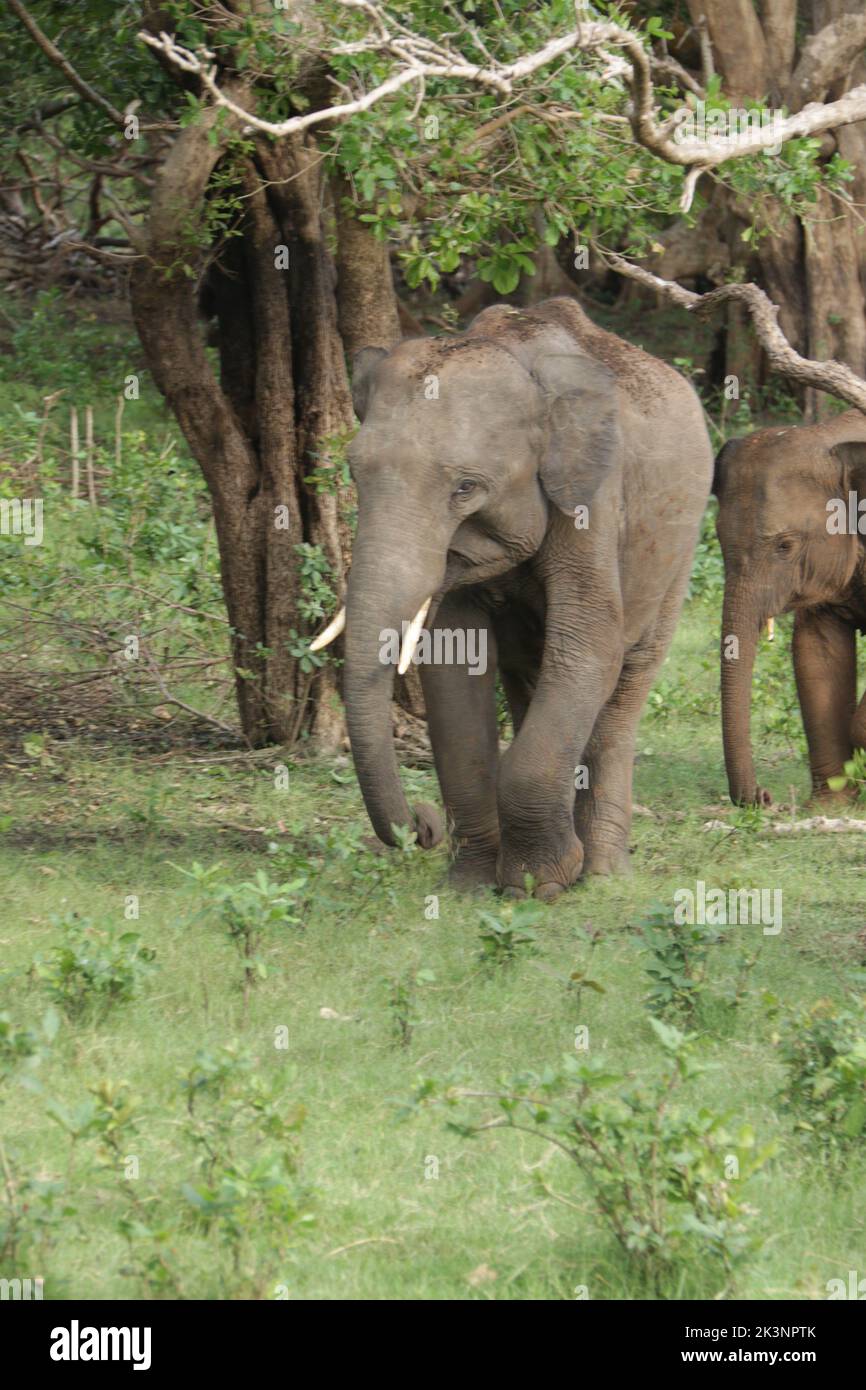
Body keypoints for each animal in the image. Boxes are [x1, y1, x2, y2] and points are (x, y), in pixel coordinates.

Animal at [312, 297, 713, 899]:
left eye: (465, 489)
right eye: (354, 474)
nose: (423, 825)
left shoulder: (594, 497)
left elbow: (589, 647)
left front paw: (539, 883)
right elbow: (454, 668)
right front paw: (471, 886)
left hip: (677, 556)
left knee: (624, 686)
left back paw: (602, 873)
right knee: (533, 678)